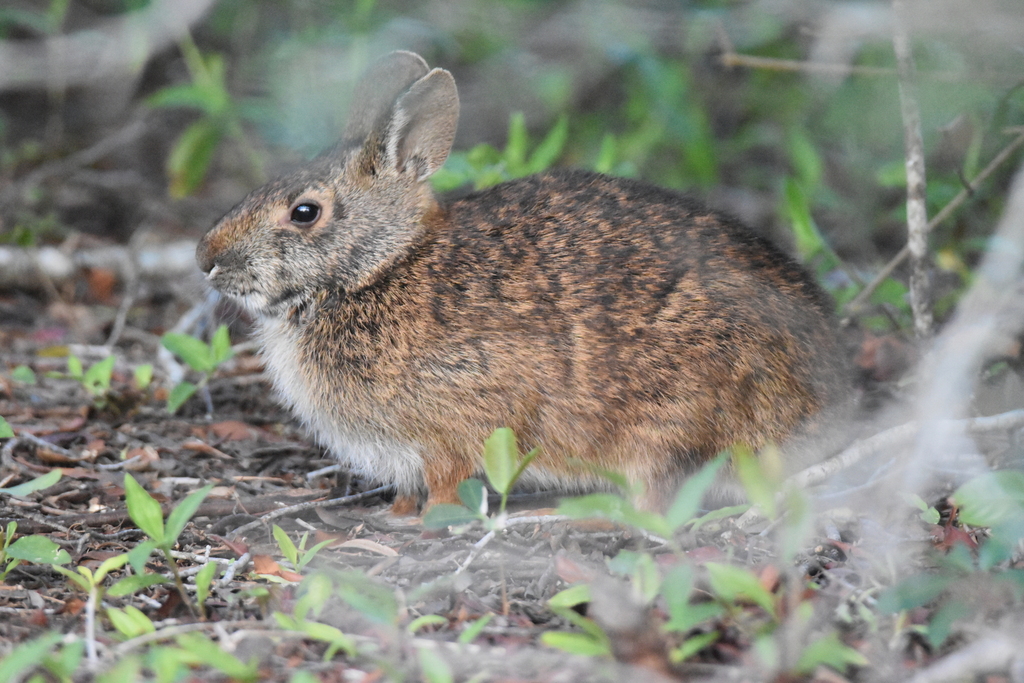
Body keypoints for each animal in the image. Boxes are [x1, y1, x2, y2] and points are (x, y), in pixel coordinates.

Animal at [196, 51, 850, 515]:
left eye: (304, 212)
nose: (205, 258)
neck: (379, 270)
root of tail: (821, 415)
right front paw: (398, 513)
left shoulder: (453, 425)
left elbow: (447, 485)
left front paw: (418, 521)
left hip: (668, 426)